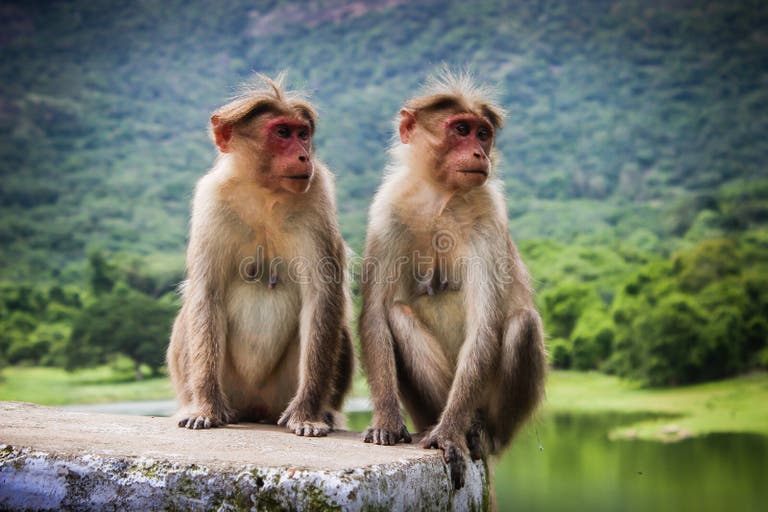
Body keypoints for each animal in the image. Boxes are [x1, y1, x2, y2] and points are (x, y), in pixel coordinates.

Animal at [166, 73, 353, 437]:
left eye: (302, 134)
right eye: (281, 133)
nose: (304, 156)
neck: (264, 192)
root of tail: (256, 408)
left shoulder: (318, 196)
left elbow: (322, 296)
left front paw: (307, 414)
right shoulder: (211, 200)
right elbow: (206, 295)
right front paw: (205, 408)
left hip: (279, 392)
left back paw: (324, 412)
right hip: (234, 389)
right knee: (189, 317)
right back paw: (194, 403)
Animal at [359, 71, 547, 489]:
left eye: (483, 134)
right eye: (461, 129)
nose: (479, 154)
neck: (438, 197)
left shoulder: (488, 216)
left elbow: (485, 325)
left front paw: (449, 435)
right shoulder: (387, 210)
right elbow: (376, 314)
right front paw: (386, 419)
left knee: (522, 324)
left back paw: (475, 429)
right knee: (398, 314)